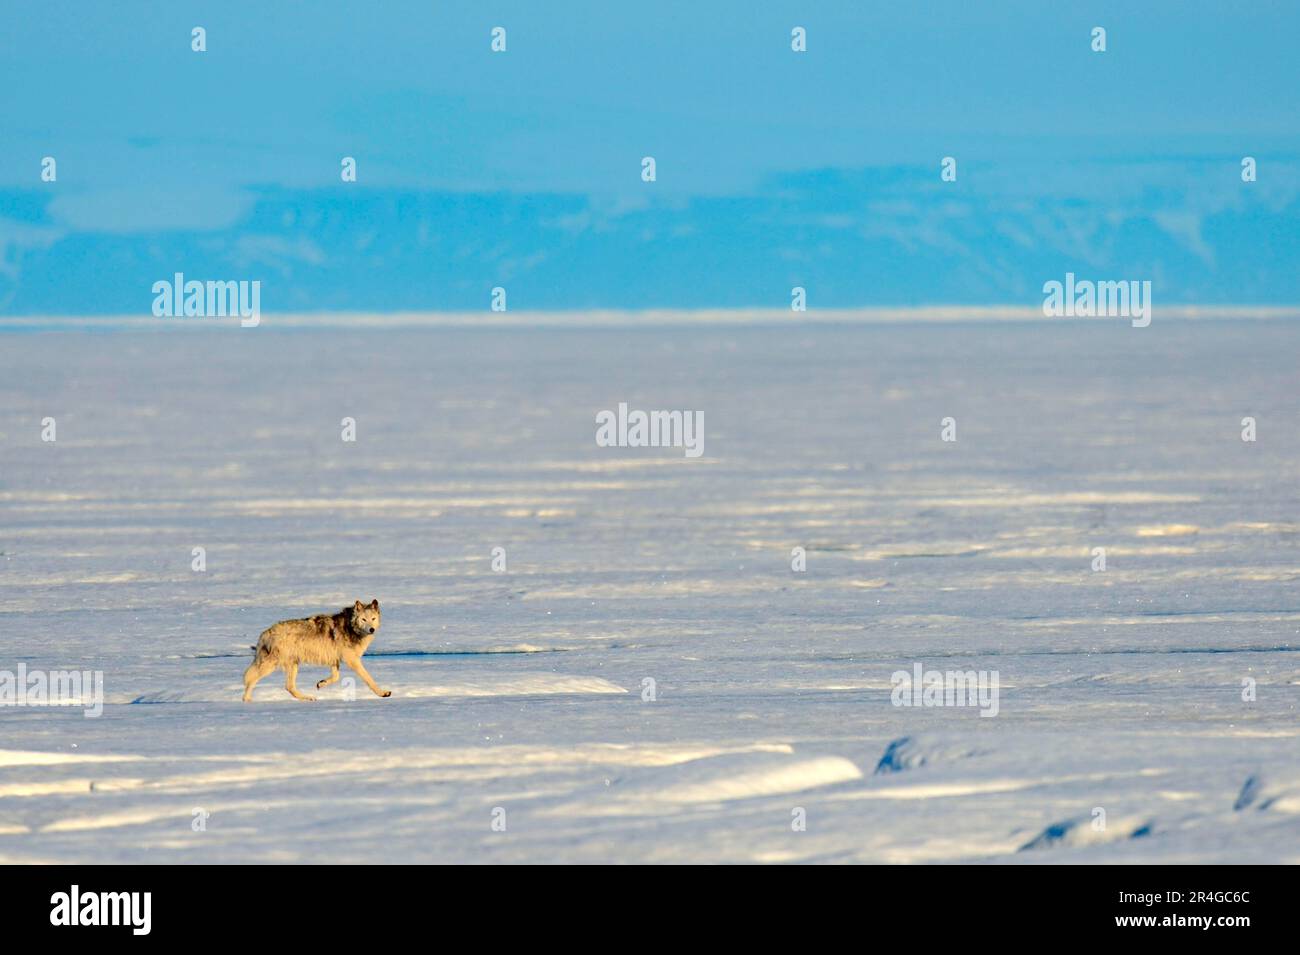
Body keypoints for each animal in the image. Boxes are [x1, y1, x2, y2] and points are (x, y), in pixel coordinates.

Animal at [243, 599, 391, 702]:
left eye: (373, 619)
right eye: (364, 619)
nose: (371, 629)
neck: (351, 628)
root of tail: (266, 632)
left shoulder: (335, 660)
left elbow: (336, 677)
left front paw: (321, 683)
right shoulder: (352, 660)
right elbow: (368, 679)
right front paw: (382, 693)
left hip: (293, 665)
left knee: (289, 687)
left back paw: (308, 698)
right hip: (272, 665)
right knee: (250, 679)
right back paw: (246, 700)